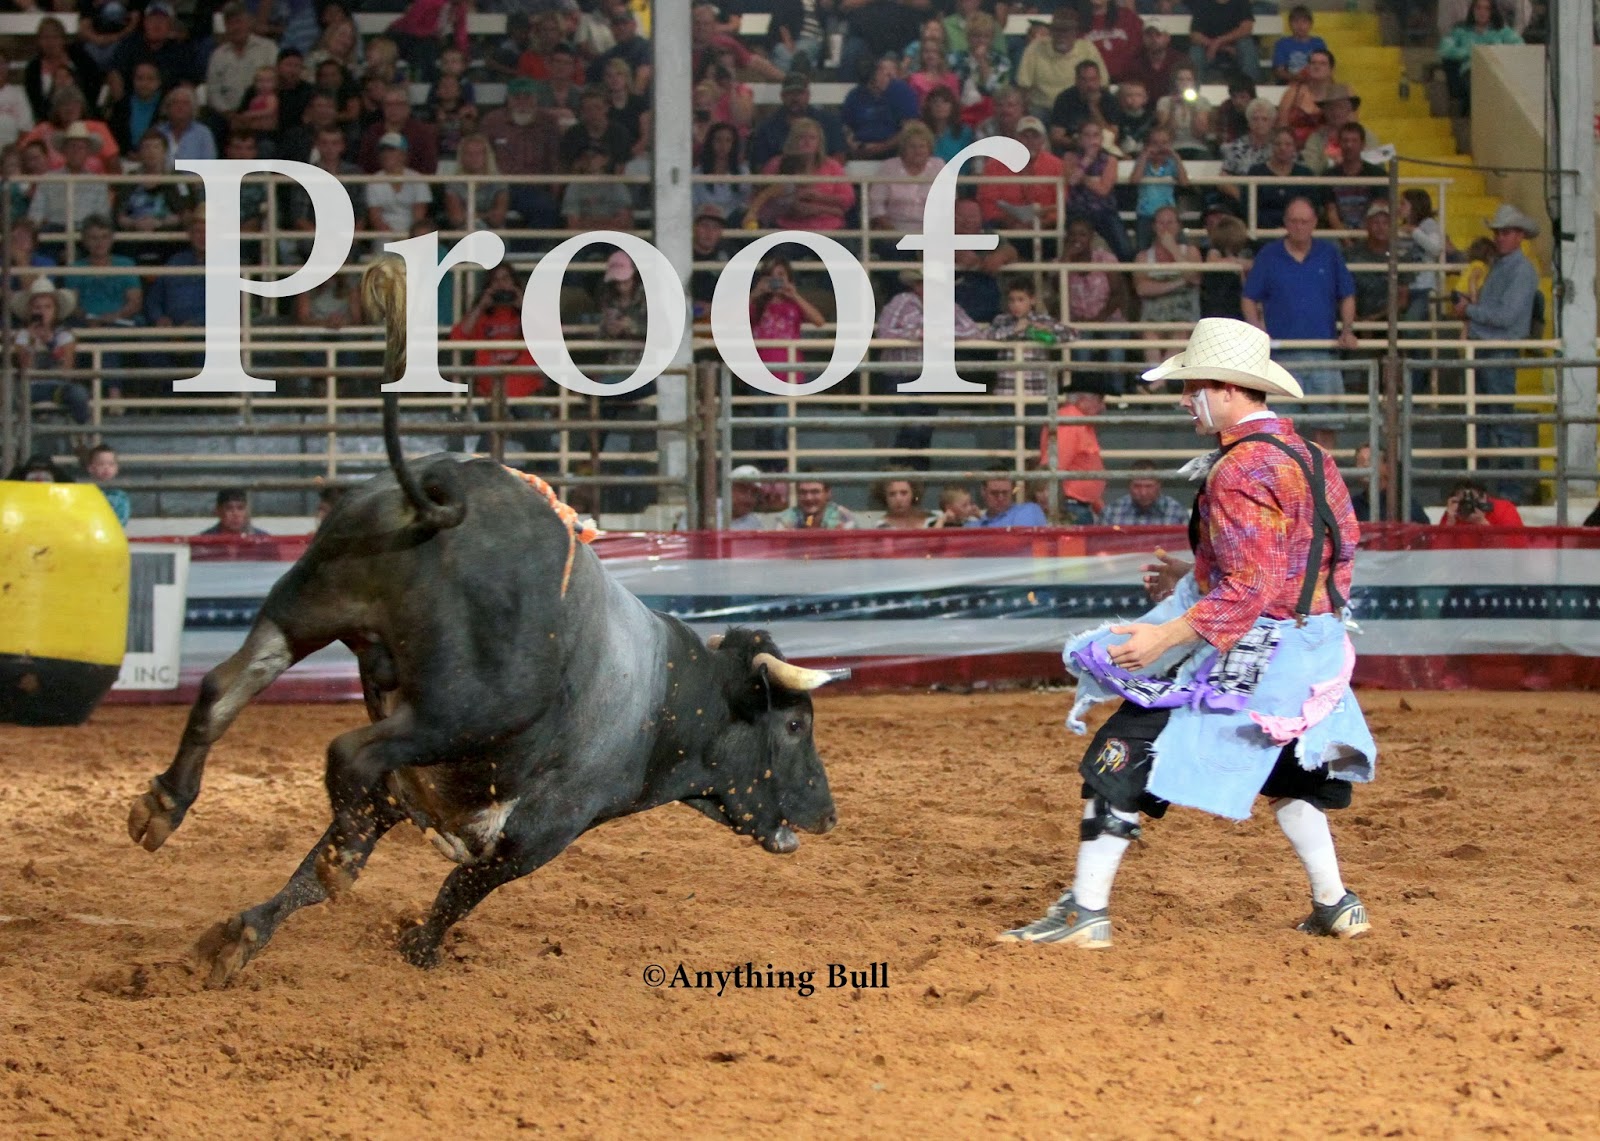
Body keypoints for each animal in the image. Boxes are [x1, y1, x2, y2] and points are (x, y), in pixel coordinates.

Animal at [126, 258, 843, 986]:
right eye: (794, 725)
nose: (829, 811)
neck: (671, 698)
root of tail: (447, 492)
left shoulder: (409, 792)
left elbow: (315, 871)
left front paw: (244, 934)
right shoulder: (539, 833)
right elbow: (458, 890)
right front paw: (420, 947)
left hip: (308, 607)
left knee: (225, 689)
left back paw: (165, 803)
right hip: (462, 710)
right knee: (350, 754)